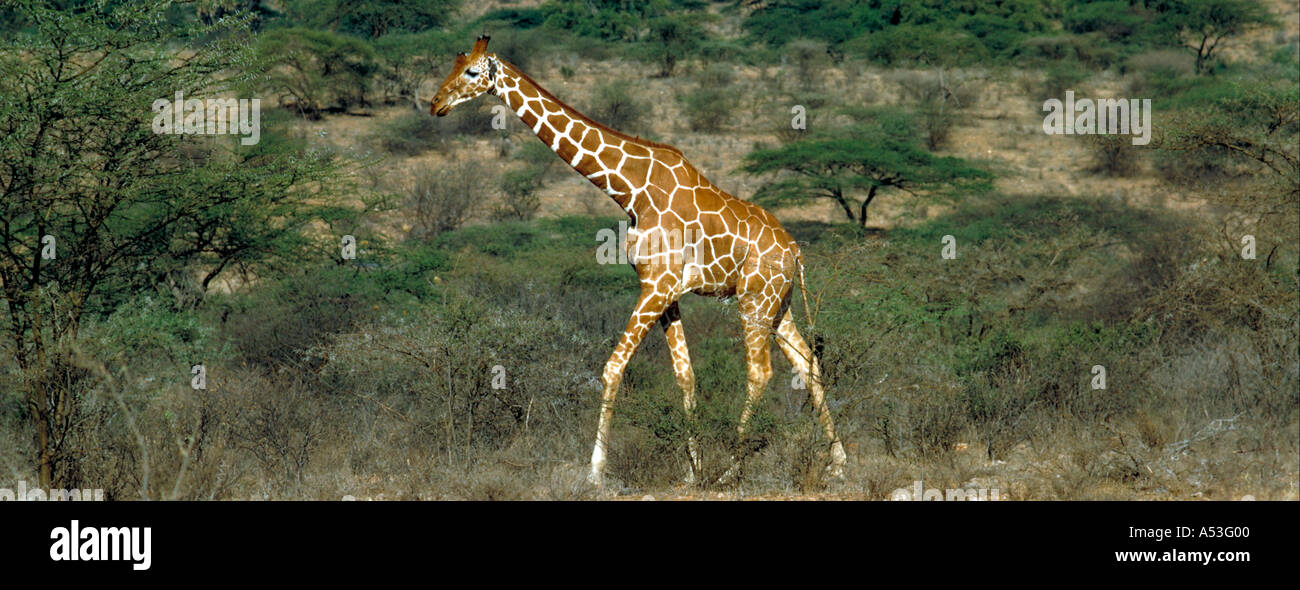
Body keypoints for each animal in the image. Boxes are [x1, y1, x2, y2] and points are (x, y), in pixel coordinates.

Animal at [430, 36, 847, 488]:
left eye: (472, 72)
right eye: (454, 64)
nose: (436, 103)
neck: (629, 189)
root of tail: (796, 251)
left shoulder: (657, 285)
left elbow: (613, 367)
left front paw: (596, 470)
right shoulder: (664, 289)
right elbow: (685, 375)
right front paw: (692, 468)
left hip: (755, 300)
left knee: (761, 372)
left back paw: (731, 470)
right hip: (778, 303)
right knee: (807, 362)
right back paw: (838, 462)